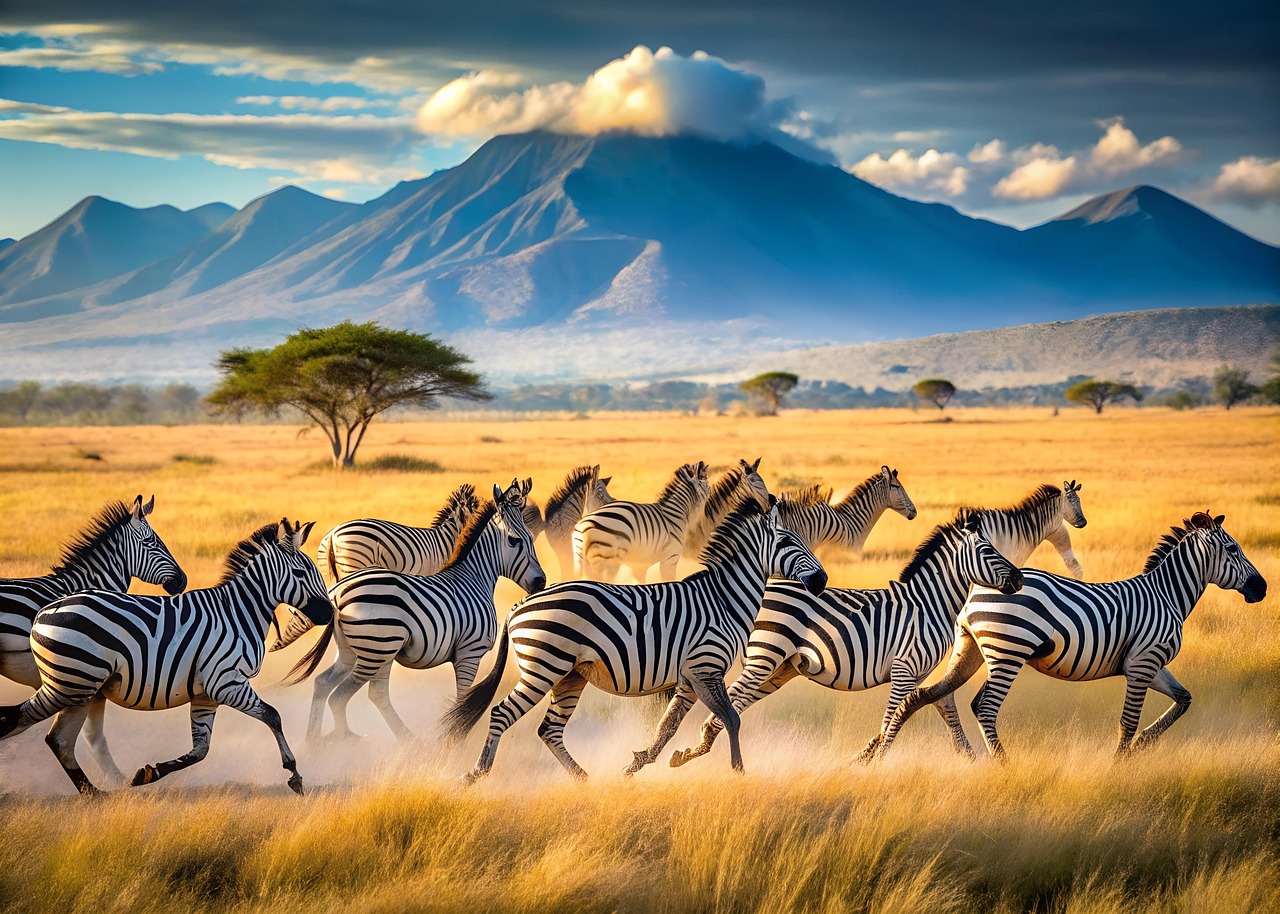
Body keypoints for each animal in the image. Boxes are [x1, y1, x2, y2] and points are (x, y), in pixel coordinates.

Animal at [442, 497, 827, 782]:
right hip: (545, 667)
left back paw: (584, 780)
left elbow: (668, 726)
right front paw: (739, 773)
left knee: (549, 729)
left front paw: (639, 765)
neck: (722, 600)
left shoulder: (690, 676)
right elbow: (730, 719)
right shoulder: (706, 667)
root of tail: (518, 605)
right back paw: (476, 773)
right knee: (502, 713)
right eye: (787, 542)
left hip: (570, 674)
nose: (822, 580)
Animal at [573, 461, 711, 582]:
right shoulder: (670, 558)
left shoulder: (640, 566)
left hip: (581, 561)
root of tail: (583, 525)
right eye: (708, 487)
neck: (675, 512)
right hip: (607, 560)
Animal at [670, 508, 1024, 769]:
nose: (1020, 579)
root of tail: (766, 587)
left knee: (729, 707)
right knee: (725, 705)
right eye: (988, 550)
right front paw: (876, 763)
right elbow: (890, 723)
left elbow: (929, 708)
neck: (927, 604)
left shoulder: (920, 672)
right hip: (764, 658)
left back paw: (686, 754)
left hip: (779, 669)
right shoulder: (904, 668)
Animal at [877, 511, 1266, 759]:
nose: (1261, 588)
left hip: (969, 650)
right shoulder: (1143, 663)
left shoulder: (1149, 666)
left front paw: (1142, 745)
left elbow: (1183, 699)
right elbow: (1128, 721)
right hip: (1009, 651)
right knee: (984, 705)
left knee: (926, 696)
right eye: (1233, 549)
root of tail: (975, 591)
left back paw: (876, 753)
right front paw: (1119, 765)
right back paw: (1003, 765)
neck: (1166, 595)